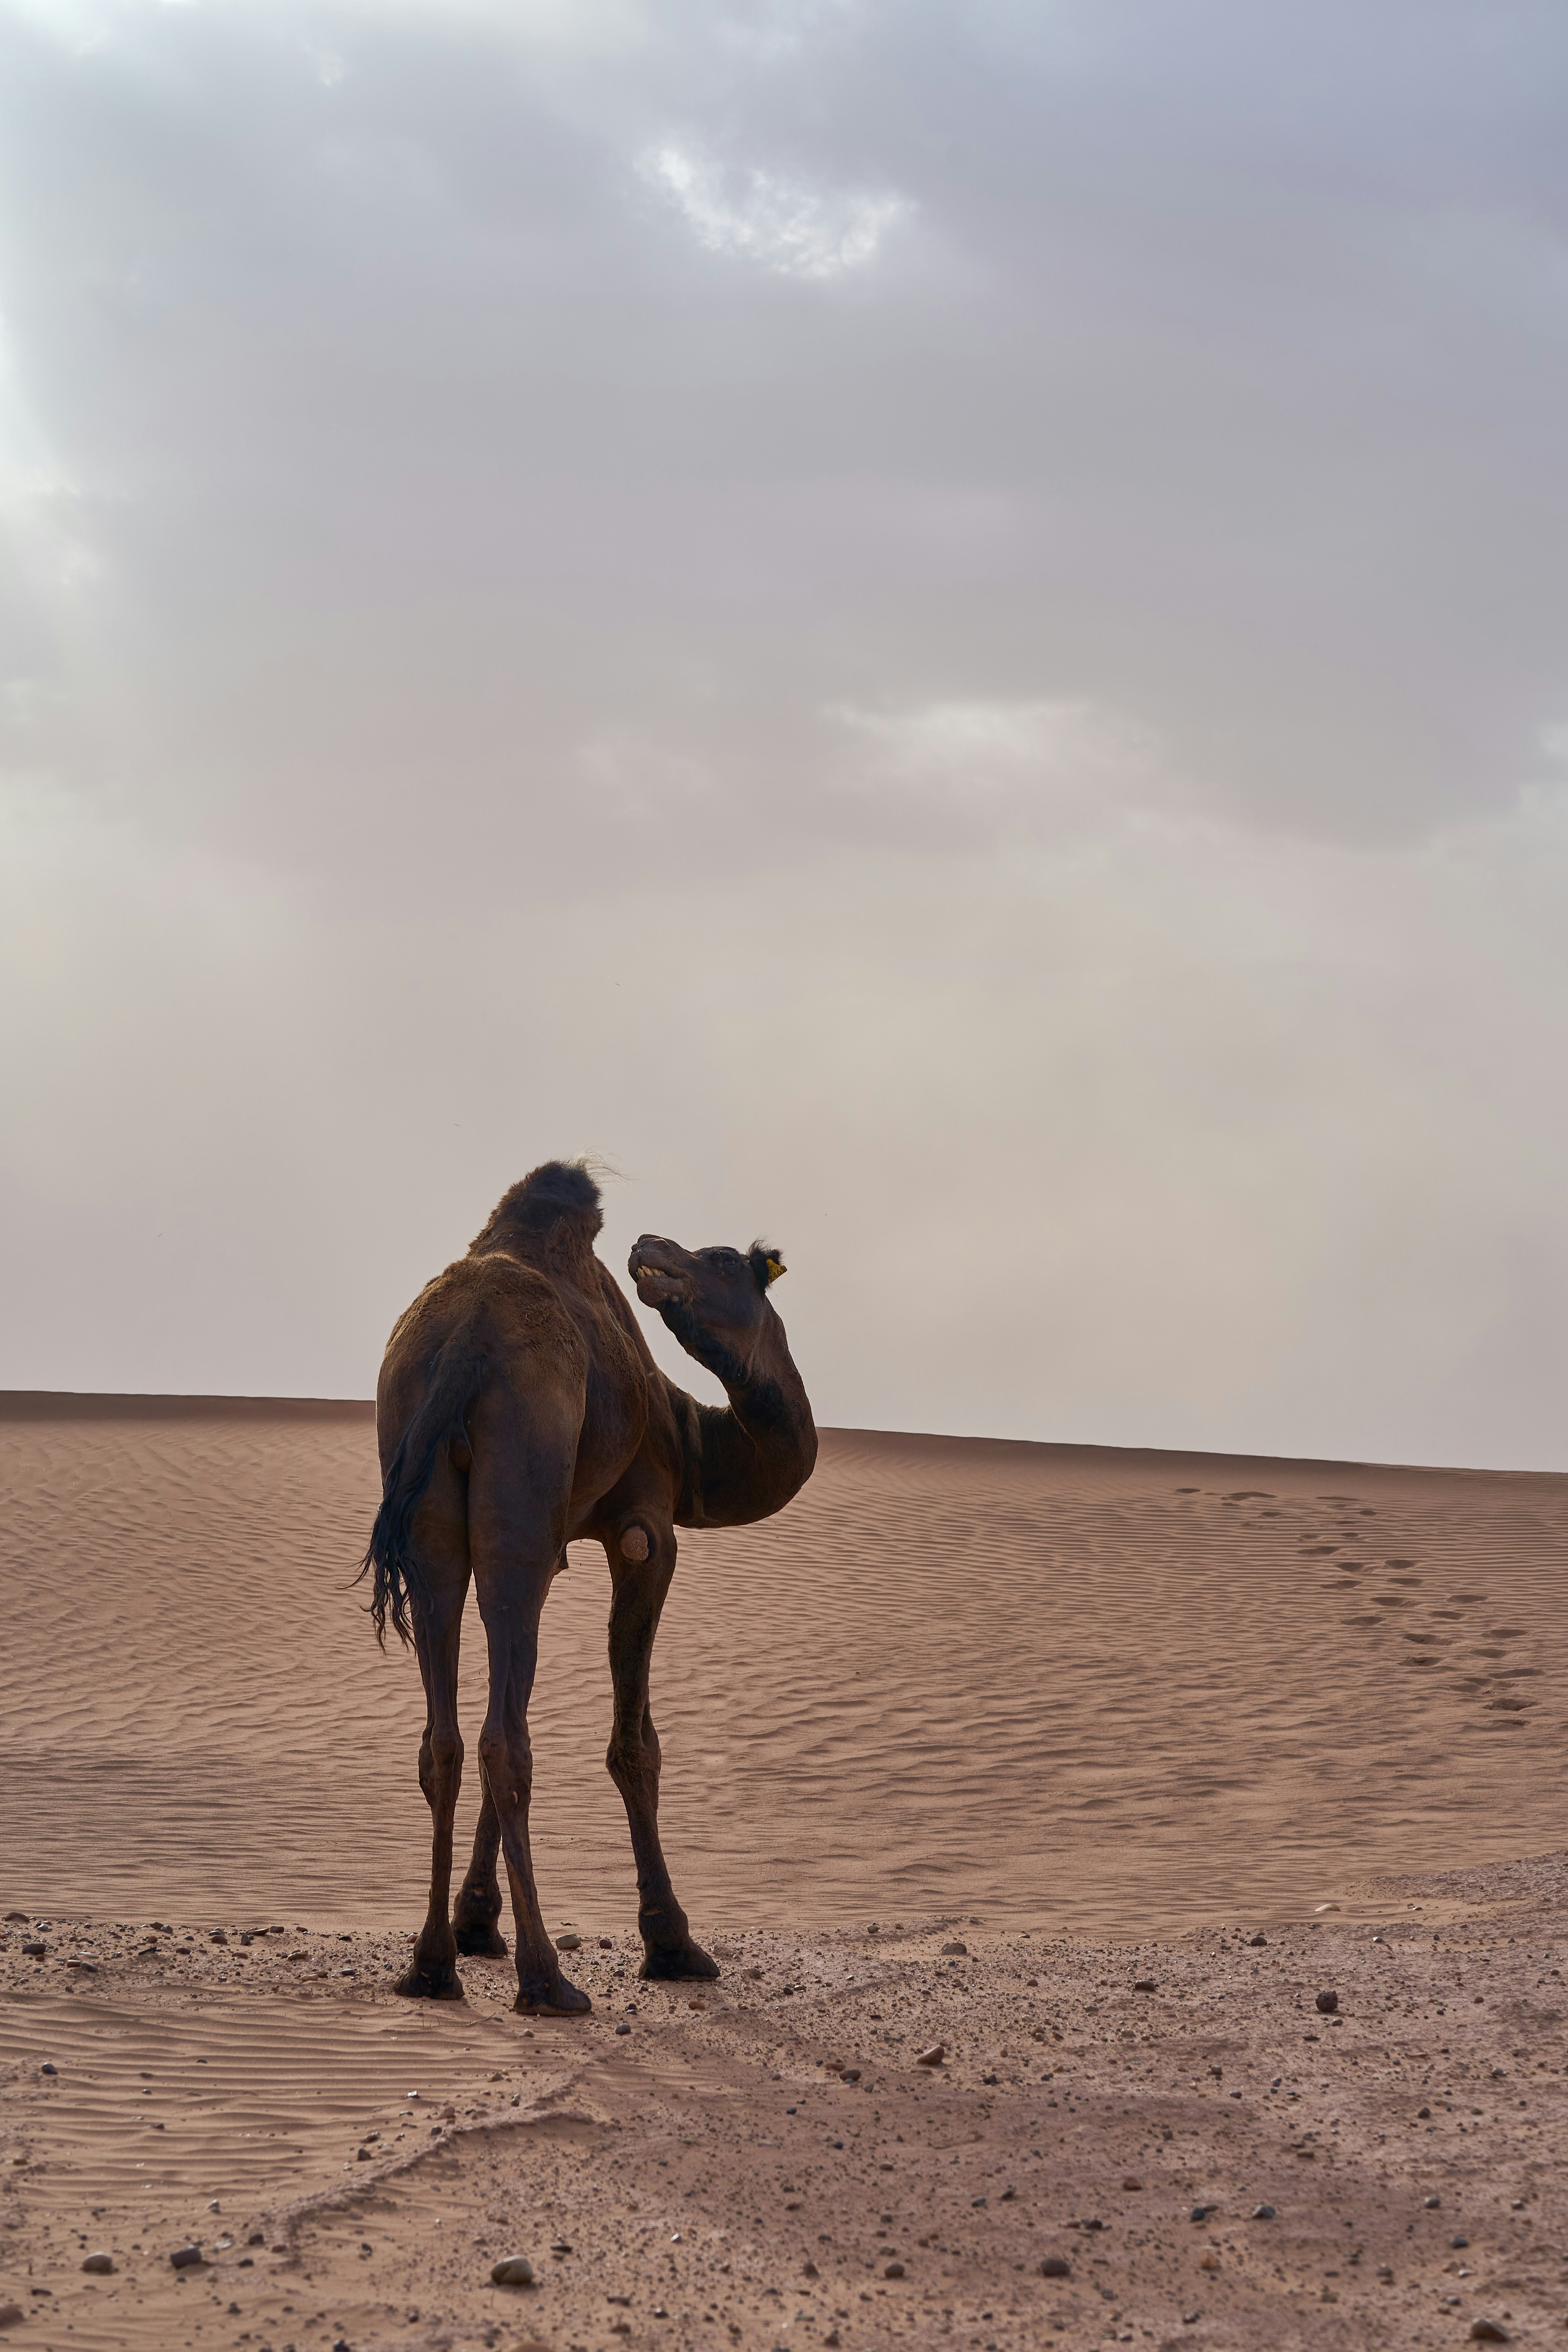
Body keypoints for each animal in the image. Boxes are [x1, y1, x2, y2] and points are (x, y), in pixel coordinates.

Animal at [361, 1160, 817, 2014]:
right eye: (723, 1256)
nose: (651, 1245)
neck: (688, 1437)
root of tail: (462, 1340)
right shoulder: (644, 1529)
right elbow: (635, 1743)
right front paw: (672, 1942)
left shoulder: (561, 1541)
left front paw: (477, 1924)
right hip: (520, 1485)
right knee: (503, 1741)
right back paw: (547, 1980)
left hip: (430, 1511)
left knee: (448, 1740)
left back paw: (431, 1965)